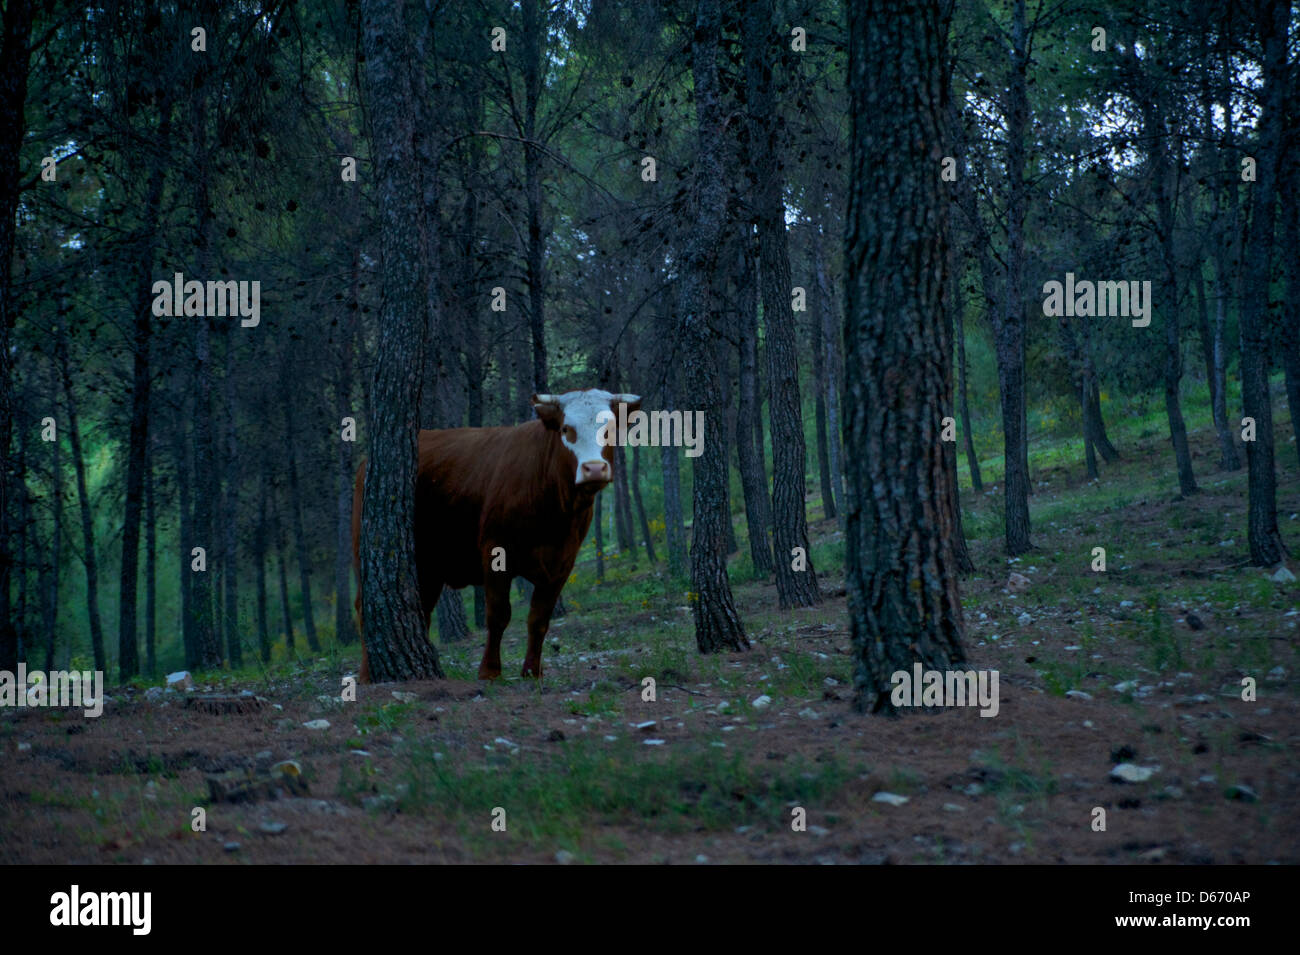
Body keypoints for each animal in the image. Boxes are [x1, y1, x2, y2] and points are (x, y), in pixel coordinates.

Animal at [352, 388, 641, 682]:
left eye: (610, 429)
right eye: (565, 428)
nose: (594, 468)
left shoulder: (562, 562)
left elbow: (539, 618)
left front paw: (532, 671)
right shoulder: (496, 550)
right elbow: (499, 614)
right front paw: (489, 671)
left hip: (429, 567)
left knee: (422, 609)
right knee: (365, 607)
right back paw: (365, 675)